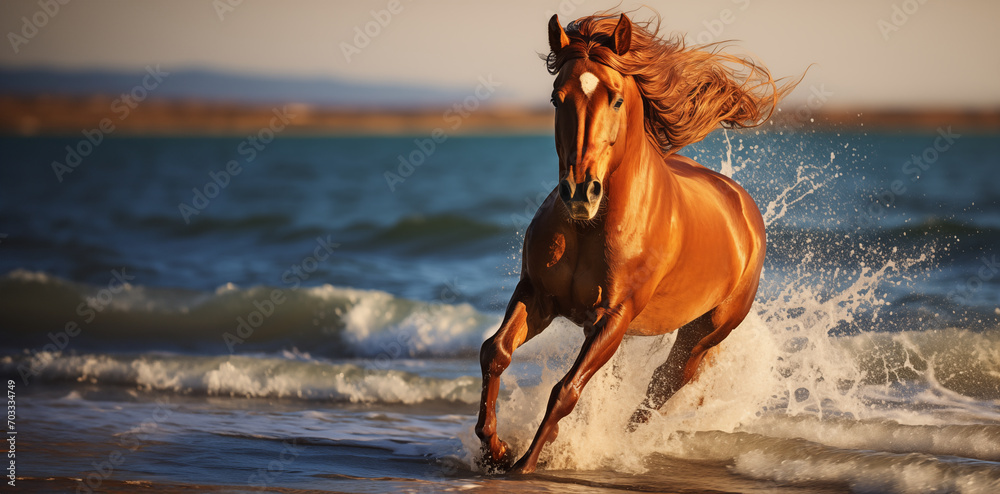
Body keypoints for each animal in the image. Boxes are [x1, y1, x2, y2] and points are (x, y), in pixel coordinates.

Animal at [475, 12, 798, 474]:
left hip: (703, 333)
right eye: (557, 98)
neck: (590, 228)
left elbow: (565, 391)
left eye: (615, 99)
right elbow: (495, 352)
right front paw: (496, 451)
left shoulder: (616, 316)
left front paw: (527, 465)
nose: (579, 192)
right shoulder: (538, 295)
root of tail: (742, 204)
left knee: (663, 386)